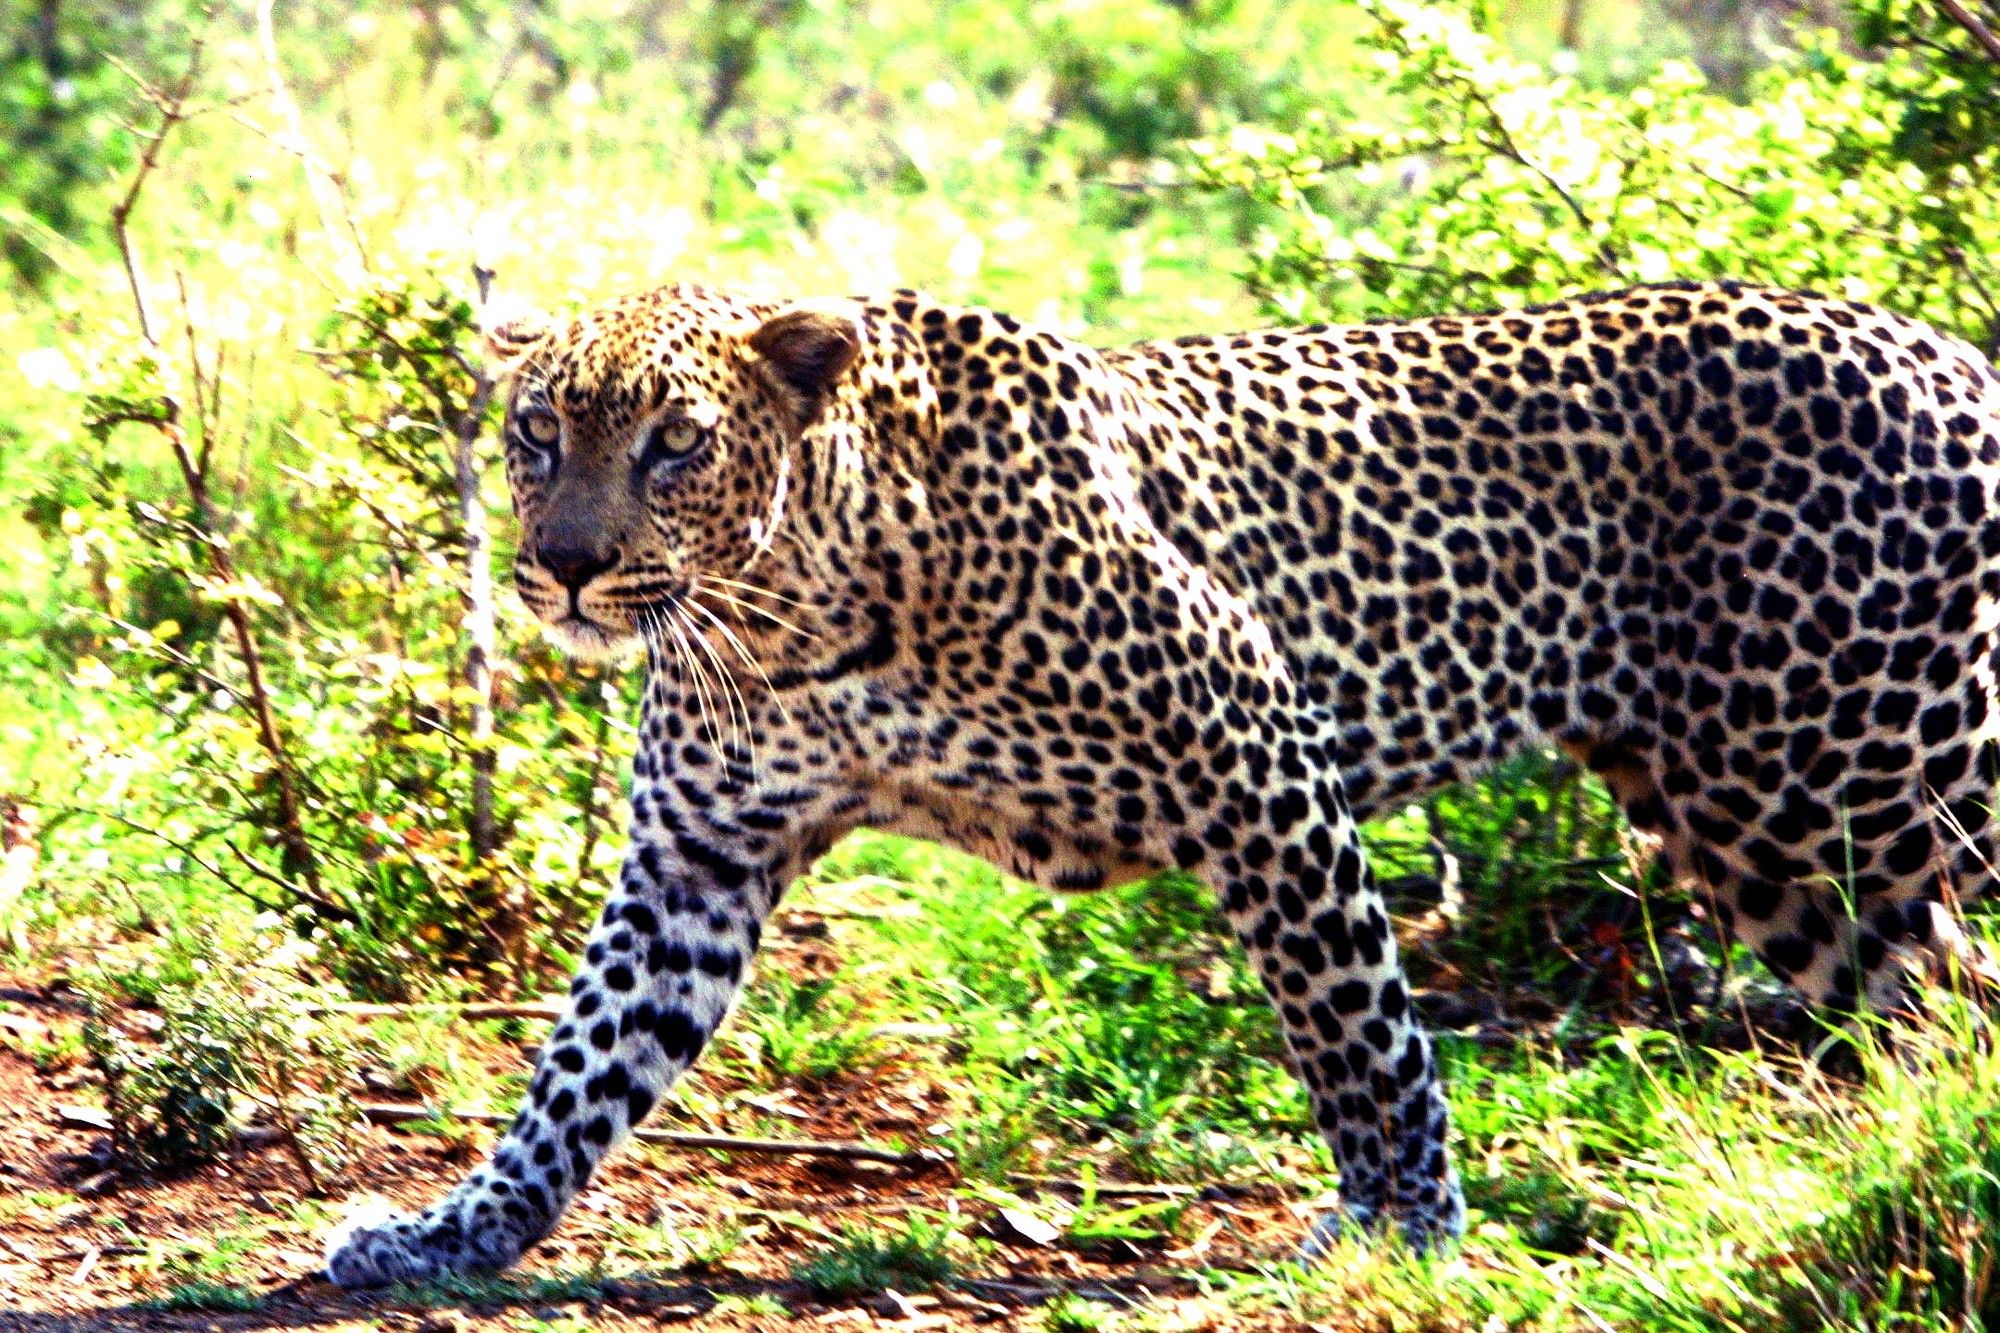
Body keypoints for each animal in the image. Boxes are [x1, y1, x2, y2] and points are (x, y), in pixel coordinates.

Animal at [325, 279, 2000, 1286]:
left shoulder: (1259, 755)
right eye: (537, 431)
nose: (562, 567)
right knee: (1923, 995)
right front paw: (456, 1231)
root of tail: (1945, 352)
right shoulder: (696, 863)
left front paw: (1402, 1229)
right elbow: (580, 1069)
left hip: (1879, 757)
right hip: (1772, 826)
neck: (799, 611)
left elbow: (1357, 1035)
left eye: (675, 445)